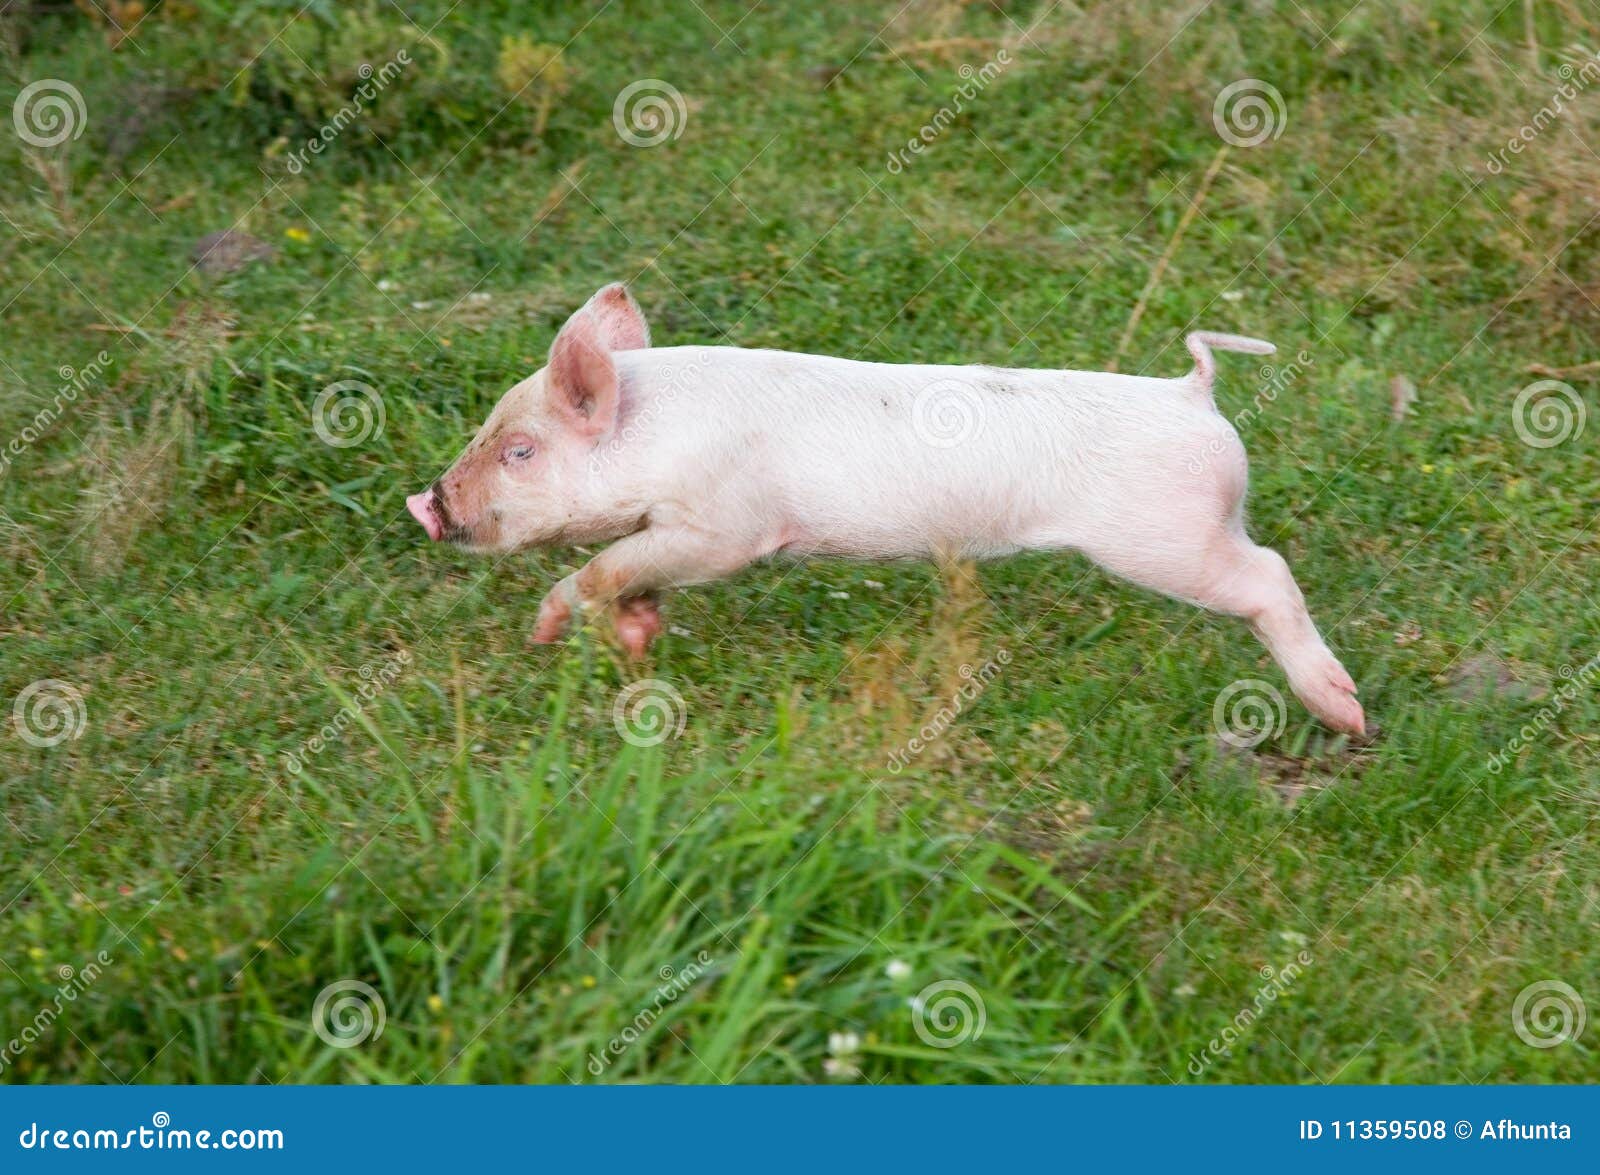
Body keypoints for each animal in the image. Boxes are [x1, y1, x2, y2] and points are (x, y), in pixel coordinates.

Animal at [406, 283, 1364, 736]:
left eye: (521, 451)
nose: (426, 502)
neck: (657, 436)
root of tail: (1192, 392)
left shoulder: (728, 527)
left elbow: (608, 563)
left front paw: (542, 629)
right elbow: (632, 574)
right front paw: (638, 640)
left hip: (1164, 538)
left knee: (1272, 574)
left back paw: (1346, 713)